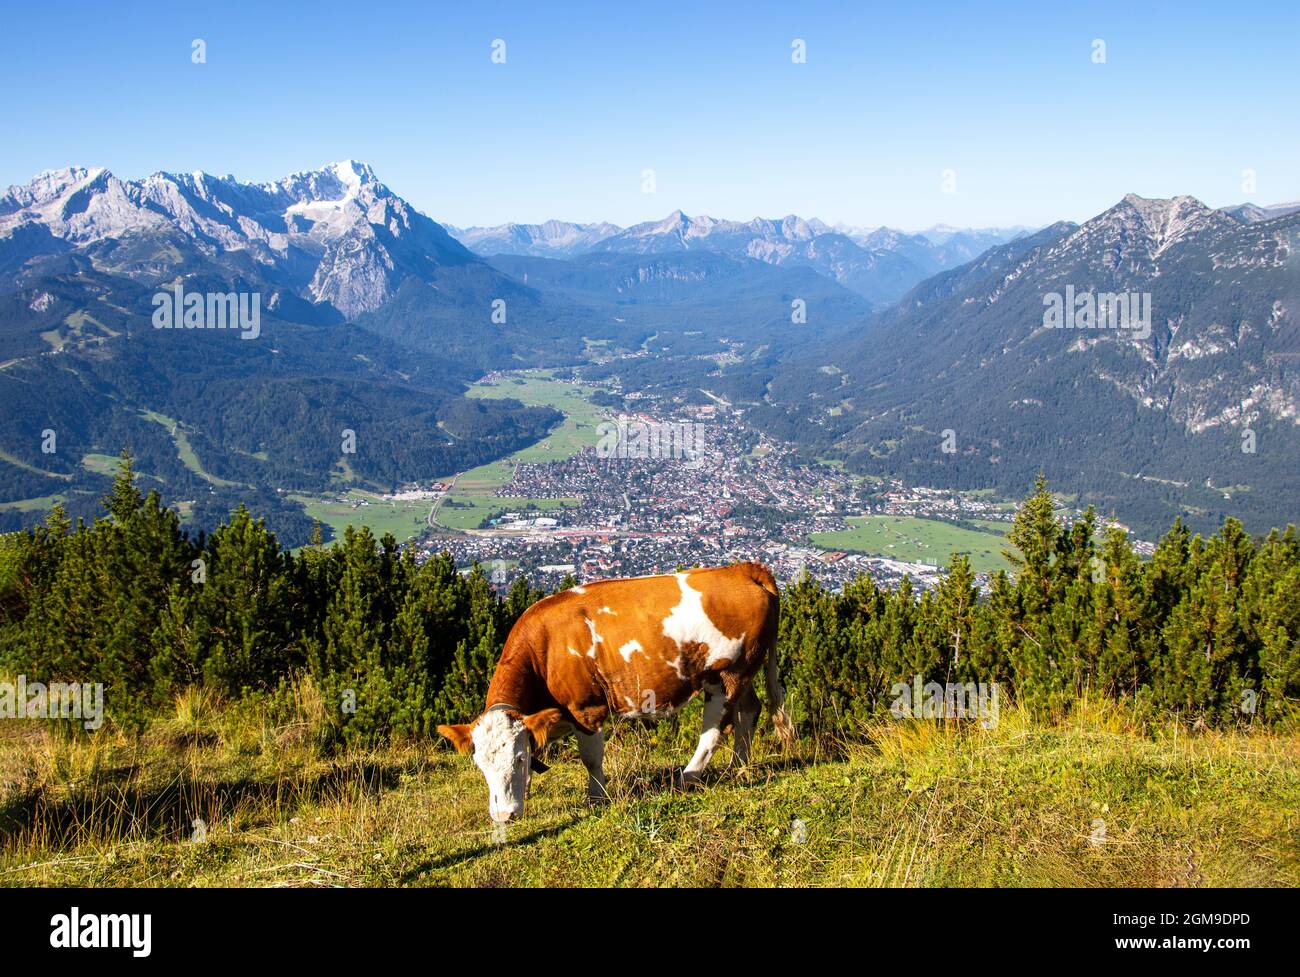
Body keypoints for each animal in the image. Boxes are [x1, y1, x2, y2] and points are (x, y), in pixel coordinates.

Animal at [437, 562, 794, 823]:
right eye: (480, 764)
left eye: (518, 758)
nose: (503, 816)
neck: (544, 650)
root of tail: (741, 569)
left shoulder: (586, 708)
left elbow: (591, 759)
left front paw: (596, 798)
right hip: (742, 671)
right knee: (749, 711)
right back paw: (739, 767)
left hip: (727, 674)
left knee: (715, 729)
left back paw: (687, 777)